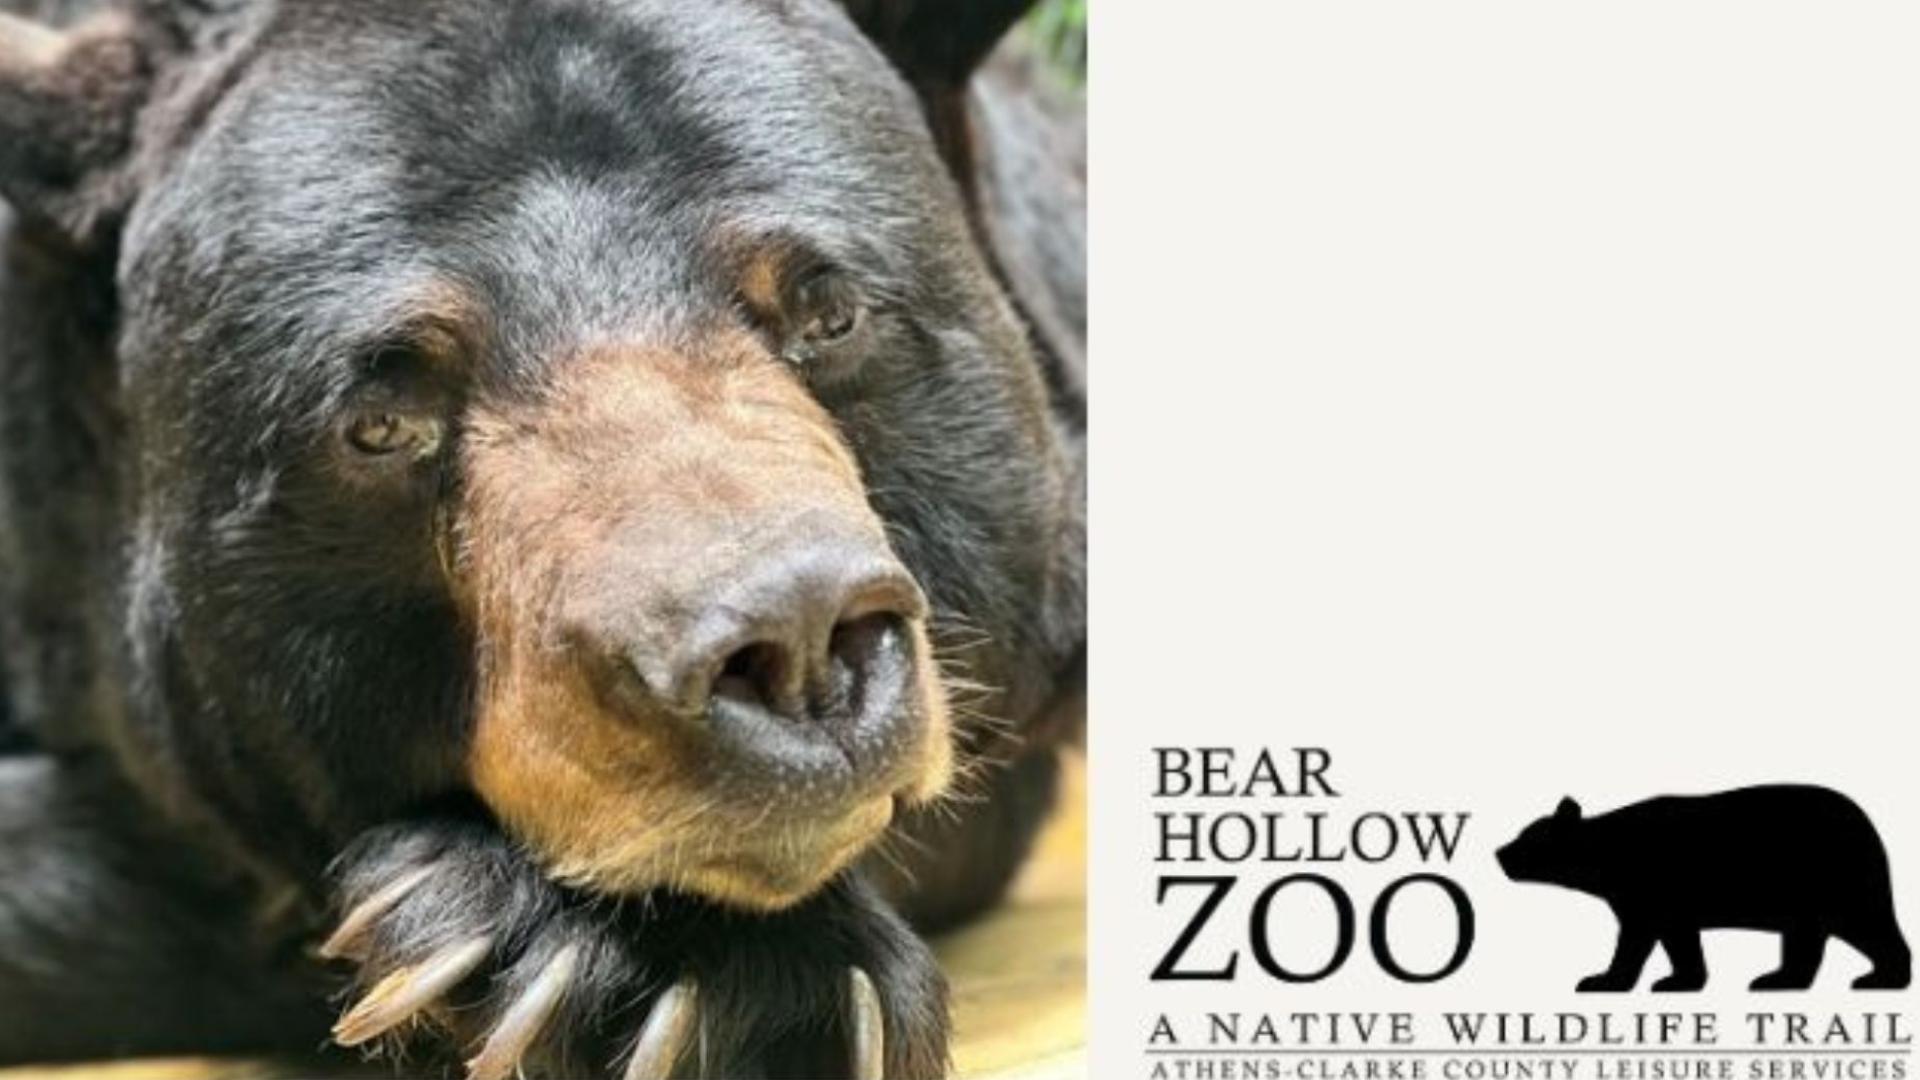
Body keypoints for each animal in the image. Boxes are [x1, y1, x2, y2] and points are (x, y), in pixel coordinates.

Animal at [1498, 786, 1911, 993]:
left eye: (1527, 838)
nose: (1499, 852)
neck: (1608, 858)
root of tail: (1871, 827)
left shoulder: (1650, 886)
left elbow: (1637, 938)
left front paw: (1602, 980)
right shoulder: (1653, 900)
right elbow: (1676, 939)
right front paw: (1677, 980)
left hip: (1834, 880)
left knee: (1867, 922)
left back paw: (1881, 978)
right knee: (1807, 936)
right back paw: (1780, 978)